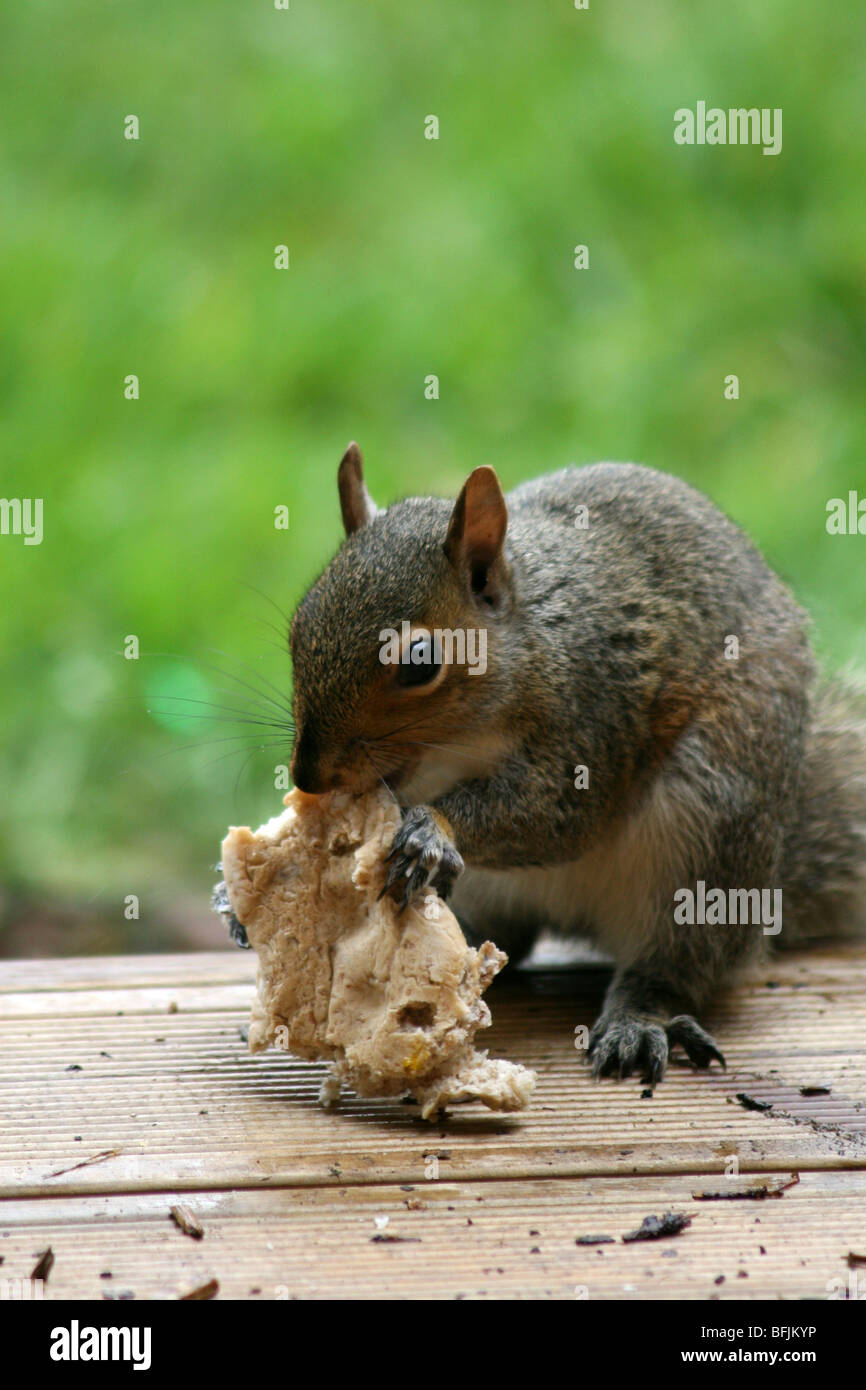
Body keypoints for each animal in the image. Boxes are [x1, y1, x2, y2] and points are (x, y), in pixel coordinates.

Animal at [215, 442, 866, 1084]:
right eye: (300, 627)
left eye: (421, 662)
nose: (309, 775)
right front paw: (238, 899)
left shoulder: (595, 713)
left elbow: (556, 816)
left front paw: (430, 831)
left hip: (707, 836)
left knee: (676, 965)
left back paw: (636, 1018)